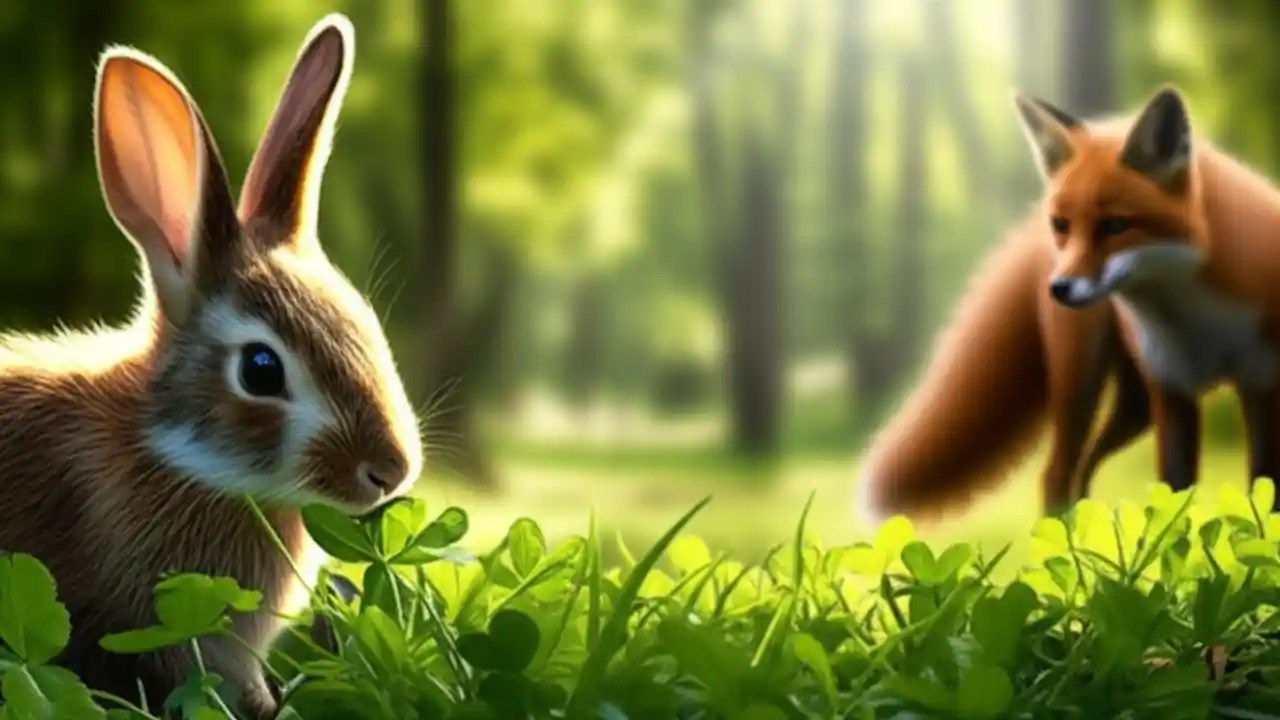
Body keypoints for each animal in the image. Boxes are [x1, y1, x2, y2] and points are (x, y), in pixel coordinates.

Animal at [855, 86, 1280, 524]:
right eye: (1062, 225)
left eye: (1115, 226)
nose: (1058, 288)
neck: (1197, 321)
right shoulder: (1172, 392)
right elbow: (1174, 494)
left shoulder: (1262, 385)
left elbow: (1262, 486)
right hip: (1085, 385)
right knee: (1057, 472)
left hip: (1135, 407)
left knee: (1083, 467)